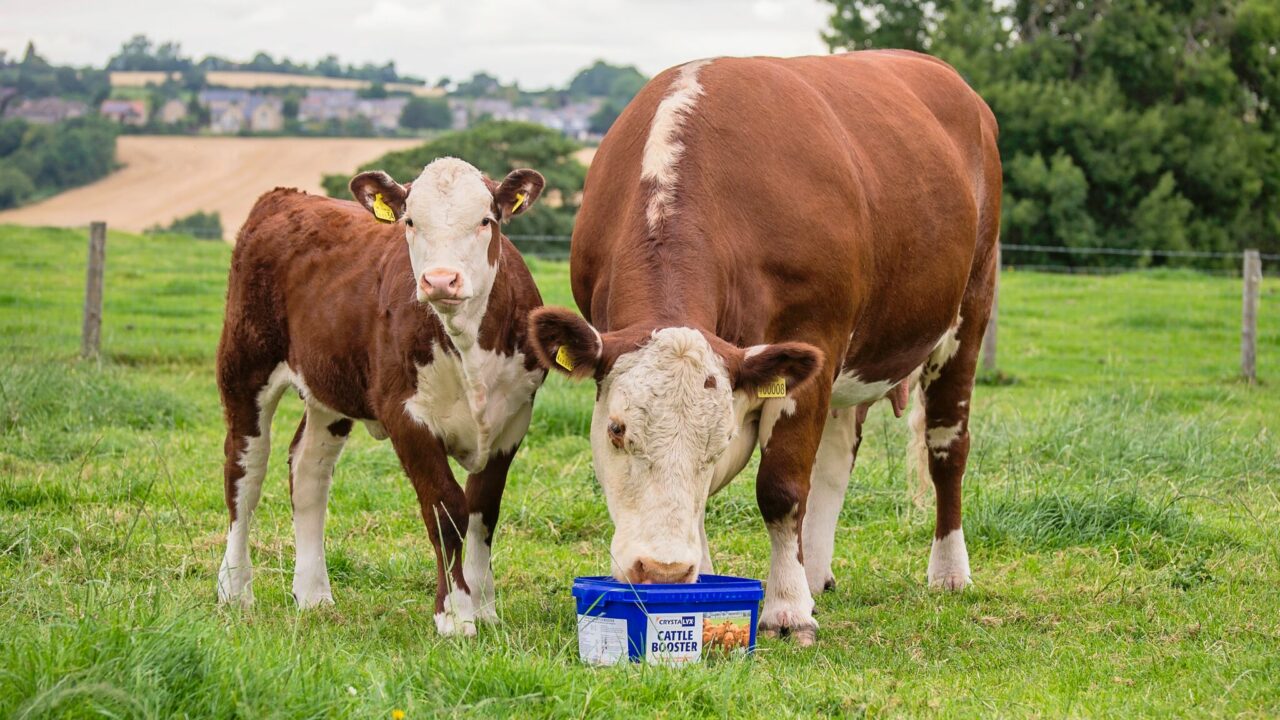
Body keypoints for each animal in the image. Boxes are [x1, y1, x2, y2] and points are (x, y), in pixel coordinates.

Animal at [215, 157, 547, 637]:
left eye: (487, 220)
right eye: (410, 221)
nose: (440, 280)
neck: (467, 343)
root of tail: (286, 196)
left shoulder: (514, 419)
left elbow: (483, 509)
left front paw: (485, 606)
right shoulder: (405, 416)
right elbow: (447, 509)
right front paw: (455, 614)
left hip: (328, 389)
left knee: (308, 470)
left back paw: (313, 595)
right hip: (244, 368)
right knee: (245, 474)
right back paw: (235, 589)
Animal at [526, 52, 1001, 645]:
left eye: (721, 439)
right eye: (616, 429)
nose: (661, 571)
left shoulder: (813, 339)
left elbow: (781, 490)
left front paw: (788, 609)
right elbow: (713, 498)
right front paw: (709, 579)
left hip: (969, 311)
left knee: (946, 447)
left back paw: (948, 571)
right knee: (838, 458)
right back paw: (816, 571)